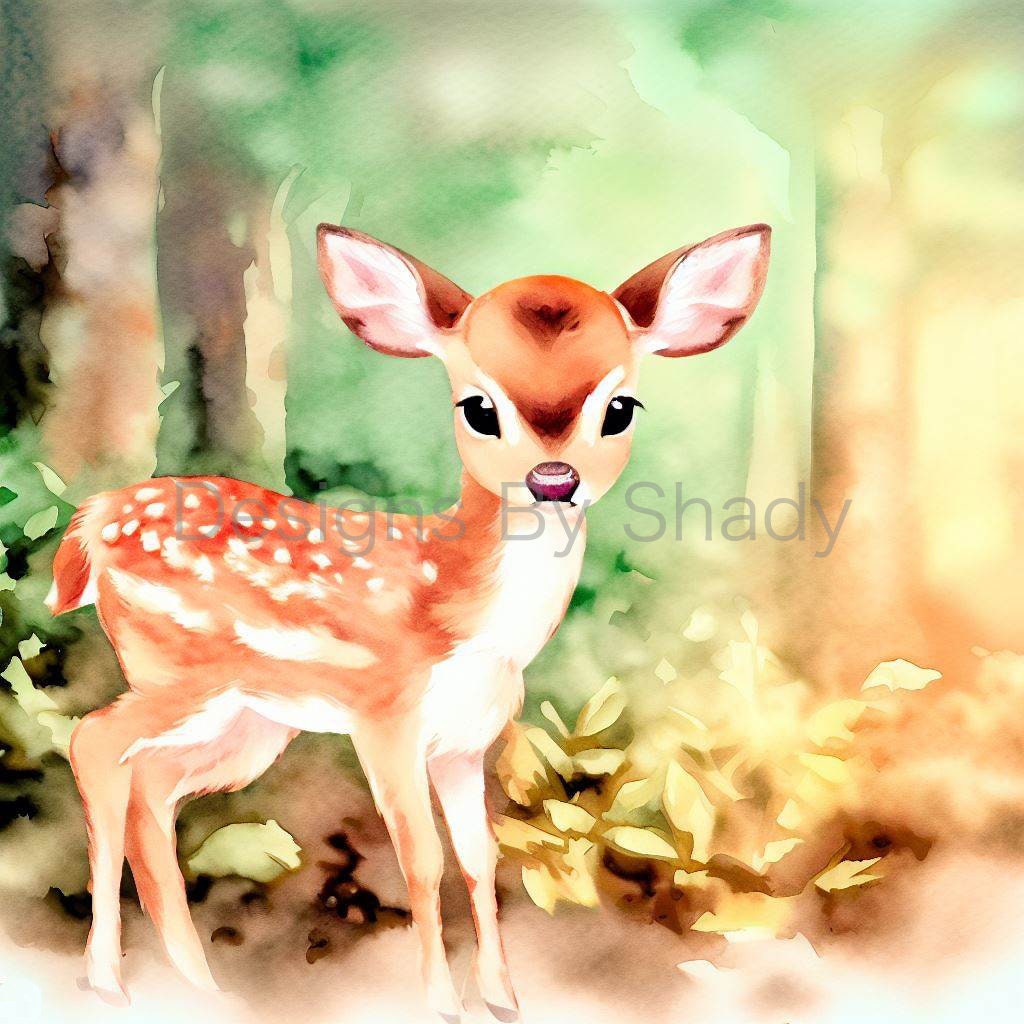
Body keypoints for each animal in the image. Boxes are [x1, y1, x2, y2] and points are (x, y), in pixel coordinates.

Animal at [48, 220, 770, 1020]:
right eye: (478, 407)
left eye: (620, 408)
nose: (554, 480)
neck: (468, 618)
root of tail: (94, 520)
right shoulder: (385, 717)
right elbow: (421, 861)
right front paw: (442, 1001)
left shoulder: (465, 740)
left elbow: (480, 858)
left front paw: (504, 998)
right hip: (183, 668)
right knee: (92, 741)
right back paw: (111, 978)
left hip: (250, 721)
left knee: (150, 785)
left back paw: (190, 982)